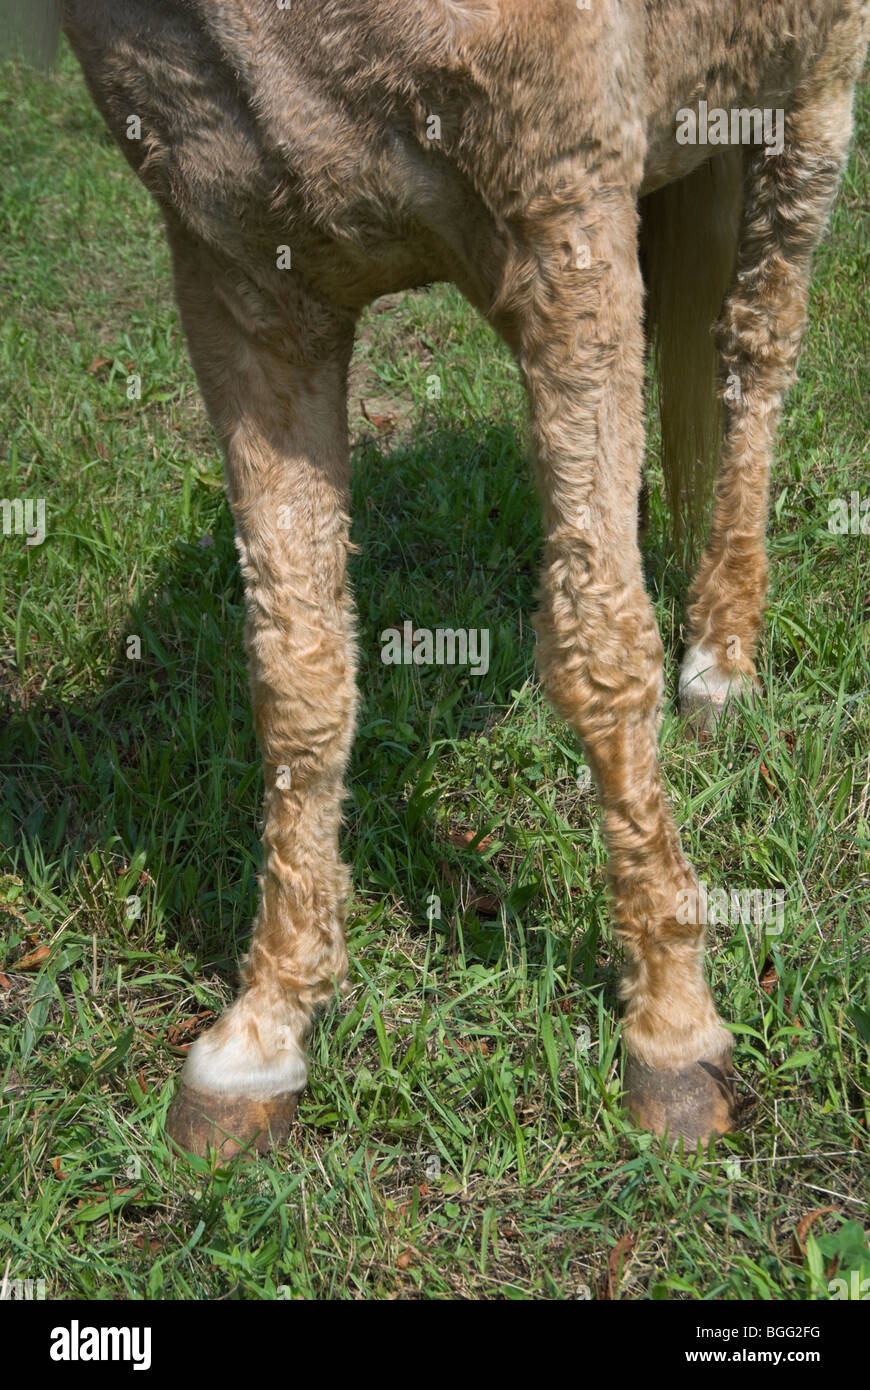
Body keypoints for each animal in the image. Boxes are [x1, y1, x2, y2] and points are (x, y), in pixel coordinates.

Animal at [7, 0, 868, 1155]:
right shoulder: (246, 289)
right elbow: (298, 673)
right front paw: (262, 1031)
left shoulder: (564, 225)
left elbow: (600, 650)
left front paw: (674, 1027)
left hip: (810, 103)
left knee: (754, 358)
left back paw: (723, 658)